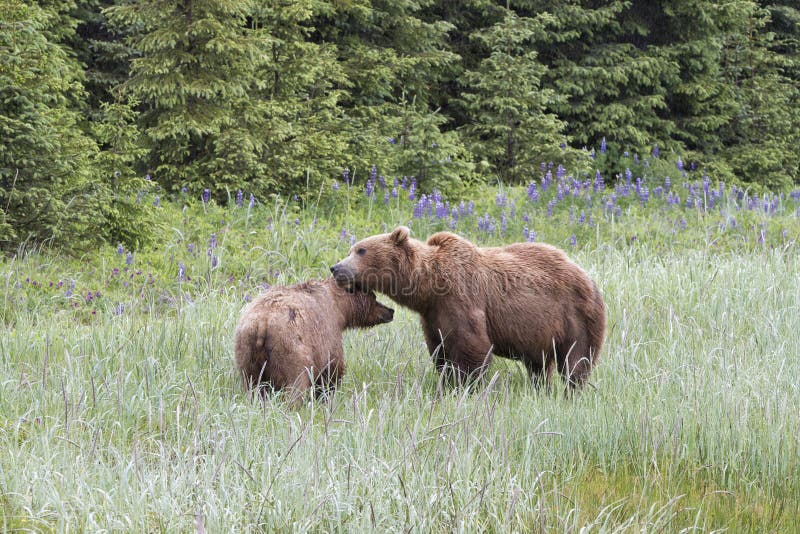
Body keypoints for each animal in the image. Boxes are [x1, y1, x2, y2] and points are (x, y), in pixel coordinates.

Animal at [234, 278, 394, 403]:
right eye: (374, 297)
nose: (390, 311)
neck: (340, 309)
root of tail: (263, 322)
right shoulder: (328, 334)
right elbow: (332, 367)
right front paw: (326, 396)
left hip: (246, 350)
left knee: (253, 385)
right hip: (290, 349)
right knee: (296, 383)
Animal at [330, 226, 606, 389]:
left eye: (361, 250)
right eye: (352, 249)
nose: (335, 267)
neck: (430, 286)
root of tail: (586, 275)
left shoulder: (461, 297)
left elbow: (471, 345)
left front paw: (465, 384)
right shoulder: (433, 315)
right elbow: (439, 350)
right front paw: (447, 379)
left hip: (575, 314)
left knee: (577, 359)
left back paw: (572, 388)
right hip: (539, 329)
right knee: (538, 364)